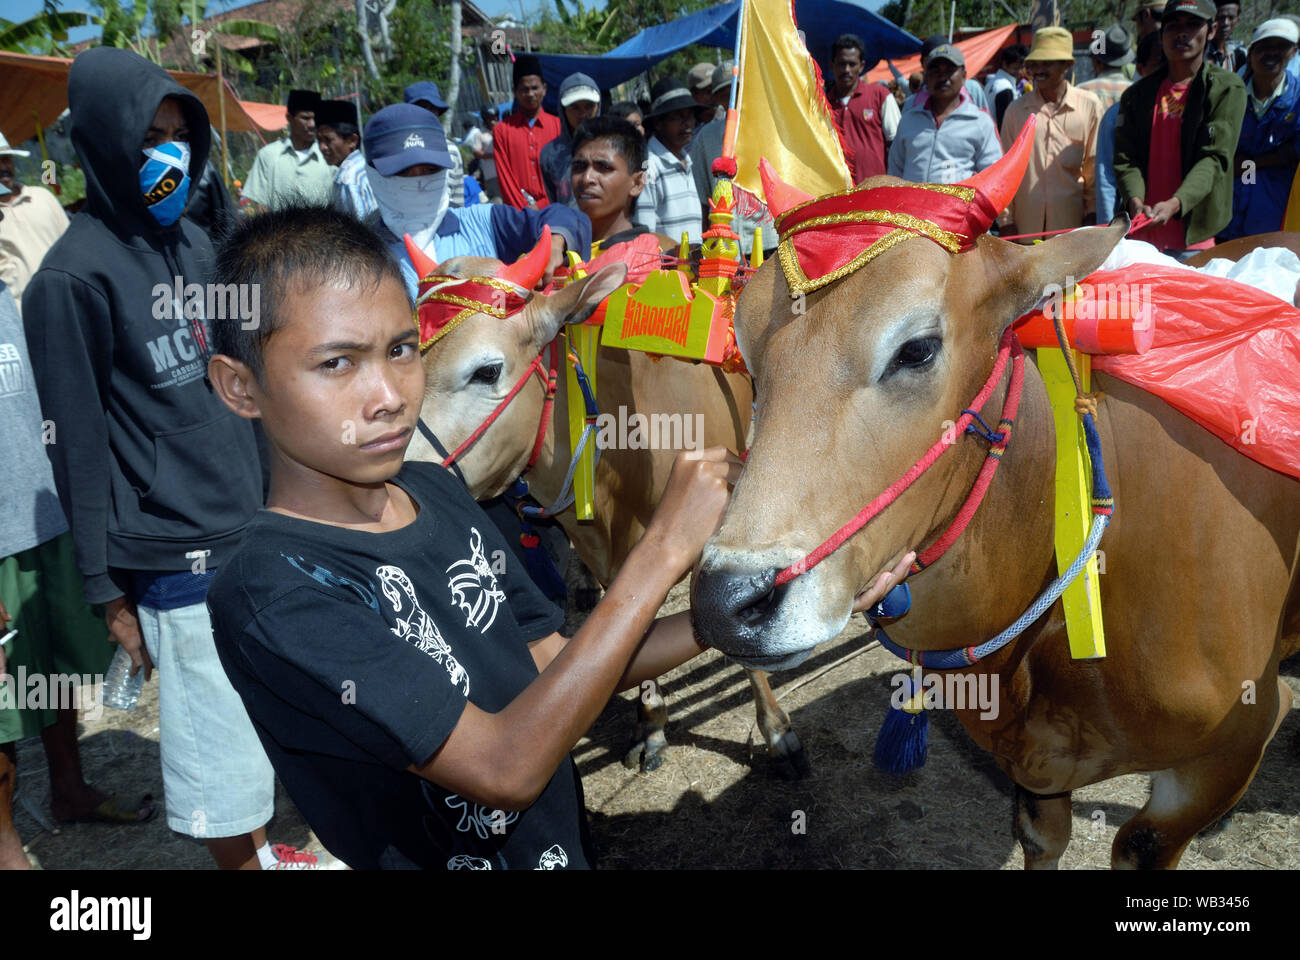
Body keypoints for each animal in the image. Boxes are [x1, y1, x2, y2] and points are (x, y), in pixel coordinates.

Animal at [691, 151, 1300, 868]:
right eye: (747, 356)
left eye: (918, 348)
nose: (728, 603)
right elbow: (1042, 835)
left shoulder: (1229, 748)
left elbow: (1142, 840)